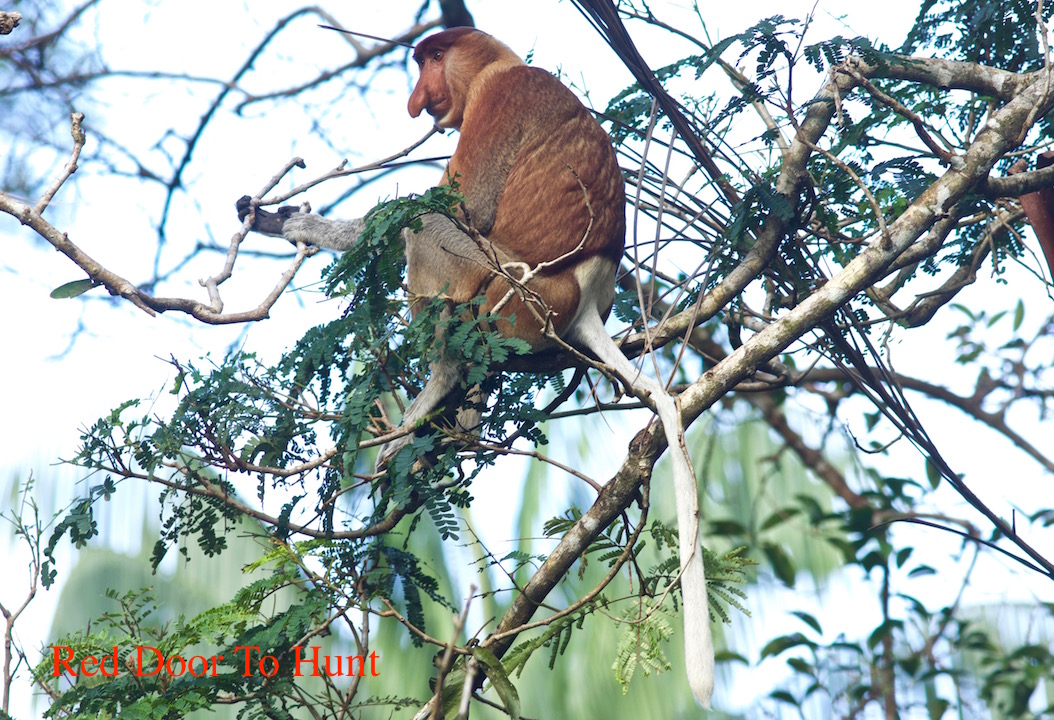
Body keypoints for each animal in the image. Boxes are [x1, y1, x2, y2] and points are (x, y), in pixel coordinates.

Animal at [237, 28, 714, 707]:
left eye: (431, 60)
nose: (417, 102)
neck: (501, 64)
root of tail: (586, 297)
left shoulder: (500, 99)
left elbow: (457, 207)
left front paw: (294, 222)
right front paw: (275, 218)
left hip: (506, 290)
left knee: (425, 223)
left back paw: (429, 403)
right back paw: (460, 419)